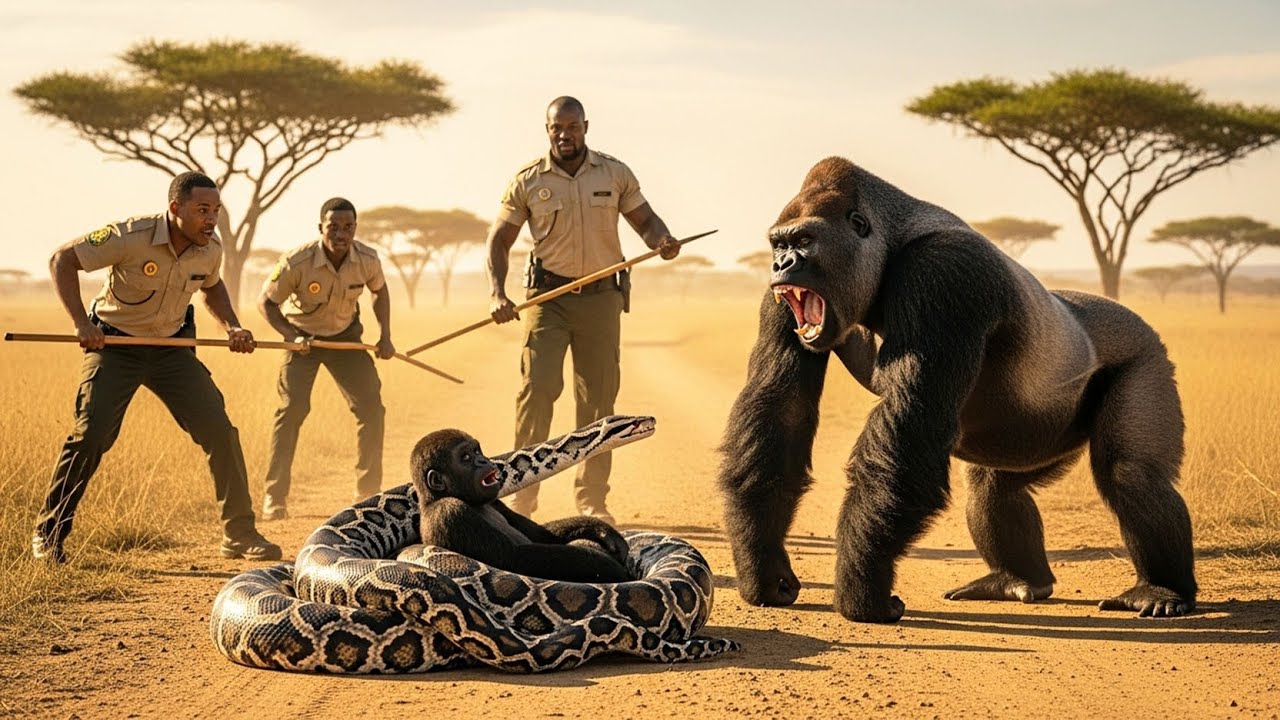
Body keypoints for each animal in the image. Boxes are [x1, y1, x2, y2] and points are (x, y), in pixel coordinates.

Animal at [409, 429, 633, 583]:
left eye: (477, 451)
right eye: (466, 457)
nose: (483, 460)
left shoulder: (496, 502)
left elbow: (540, 533)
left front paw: (604, 530)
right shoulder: (450, 511)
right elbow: (513, 558)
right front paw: (606, 564)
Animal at [718, 156, 1196, 623]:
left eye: (804, 240)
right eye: (778, 245)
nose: (781, 265)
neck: (888, 249)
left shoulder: (943, 273)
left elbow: (910, 429)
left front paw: (862, 590)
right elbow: (782, 408)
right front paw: (765, 567)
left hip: (1144, 351)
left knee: (1132, 474)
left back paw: (1162, 589)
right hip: (1037, 441)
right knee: (996, 488)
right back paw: (1016, 578)